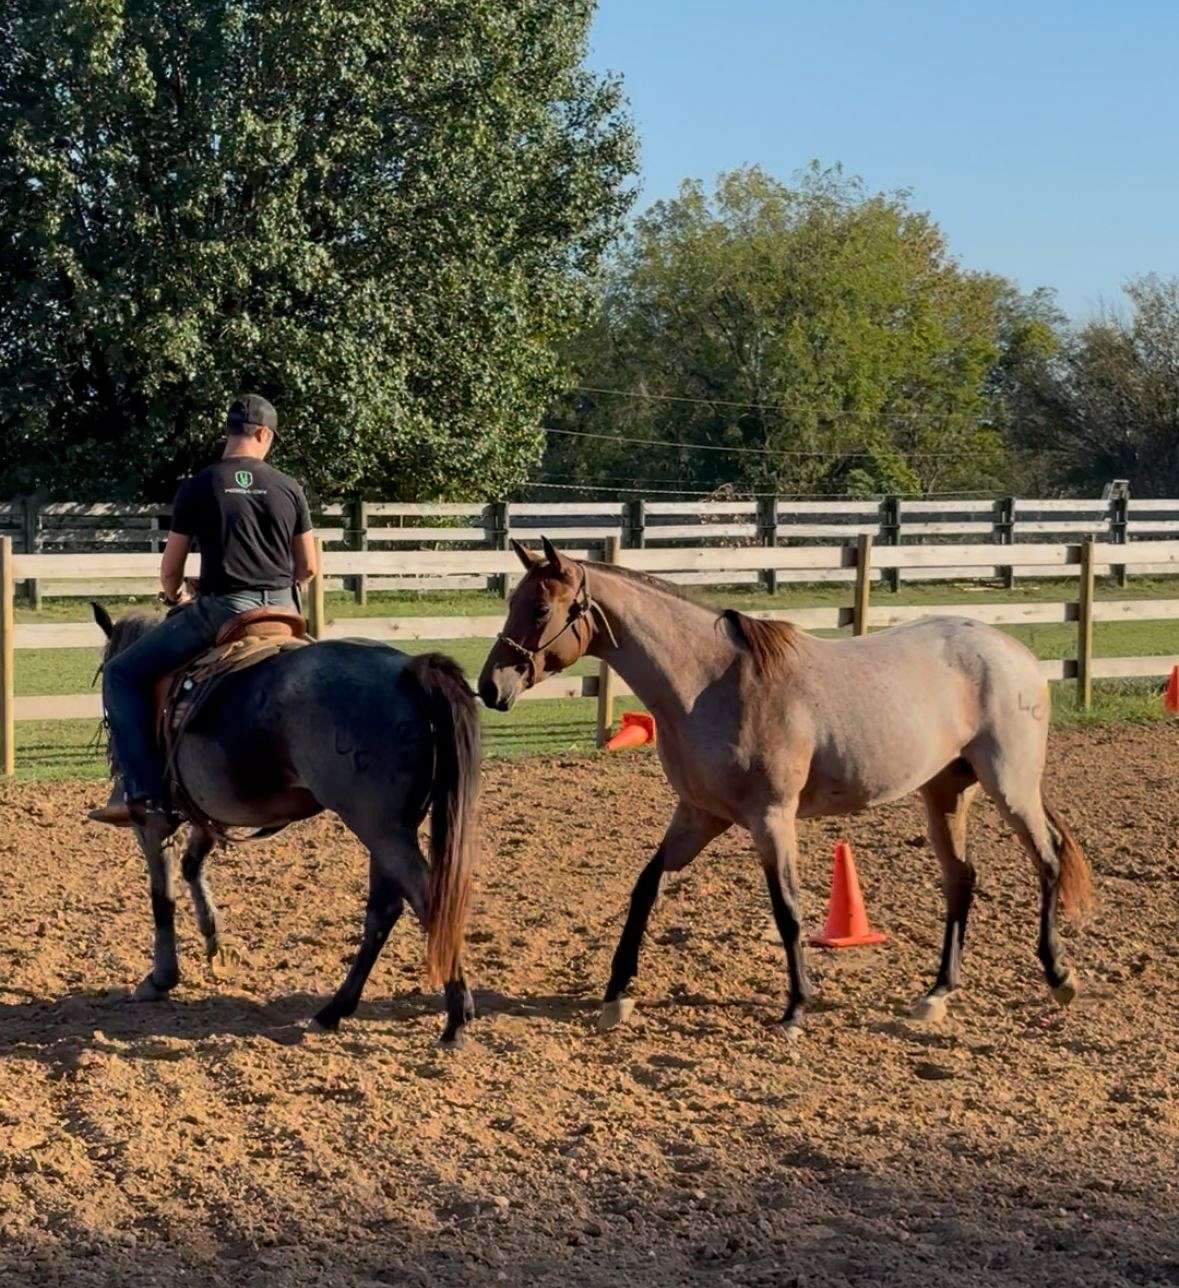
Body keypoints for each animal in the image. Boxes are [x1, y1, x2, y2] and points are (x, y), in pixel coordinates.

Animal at [92, 604, 480, 1045]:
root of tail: (408, 669)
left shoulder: (154, 823)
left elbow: (163, 896)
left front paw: (161, 978)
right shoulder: (205, 812)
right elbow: (193, 865)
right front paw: (214, 939)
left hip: (381, 830)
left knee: (428, 903)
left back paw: (454, 1019)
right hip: (389, 832)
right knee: (385, 910)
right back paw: (335, 1010)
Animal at [477, 538, 1092, 1036]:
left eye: (539, 608)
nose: (490, 687)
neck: (711, 686)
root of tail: (1014, 652)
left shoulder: (772, 819)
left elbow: (788, 910)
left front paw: (795, 1008)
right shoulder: (698, 815)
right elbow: (645, 888)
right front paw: (615, 996)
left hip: (1010, 785)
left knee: (1047, 859)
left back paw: (1058, 974)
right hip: (944, 791)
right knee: (961, 880)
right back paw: (936, 995)